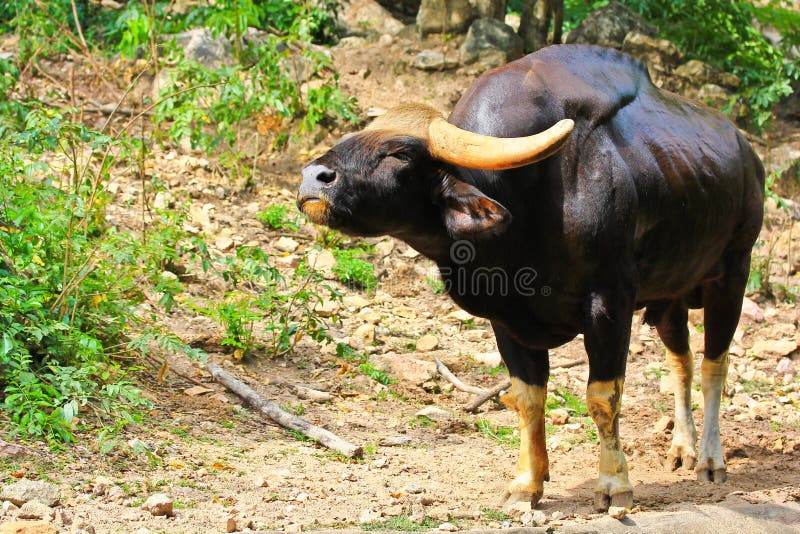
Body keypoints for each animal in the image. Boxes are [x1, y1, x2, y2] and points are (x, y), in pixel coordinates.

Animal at [297, 45, 764, 511]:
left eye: (401, 154)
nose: (312, 178)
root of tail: (749, 156)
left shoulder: (610, 301)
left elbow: (603, 396)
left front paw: (615, 484)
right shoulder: (507, 320)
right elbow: (527, 398)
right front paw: (527, 482)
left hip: (732, 275)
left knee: (714, 364)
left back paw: (710, 459)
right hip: (671, 295)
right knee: (681, 361)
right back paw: (683, 448)